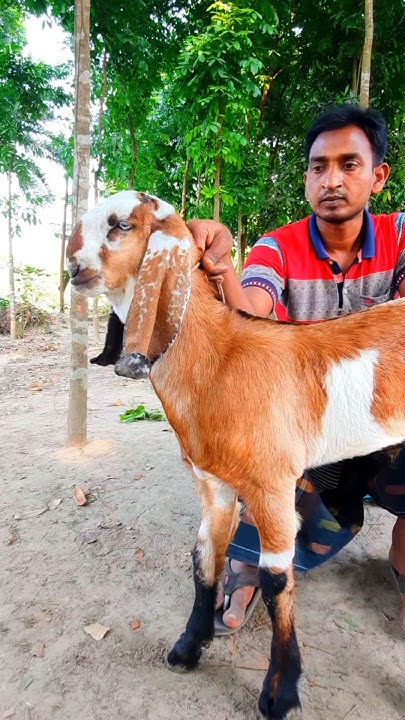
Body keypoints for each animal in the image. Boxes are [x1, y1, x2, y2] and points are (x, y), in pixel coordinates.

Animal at [66, 190, 405, 720]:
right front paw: (188, 648)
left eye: (122, 224)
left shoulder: (272, 486)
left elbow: (275, 581)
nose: (72, 267)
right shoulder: (213, 483)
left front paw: (280, 693)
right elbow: (205, 555)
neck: (223, 358)